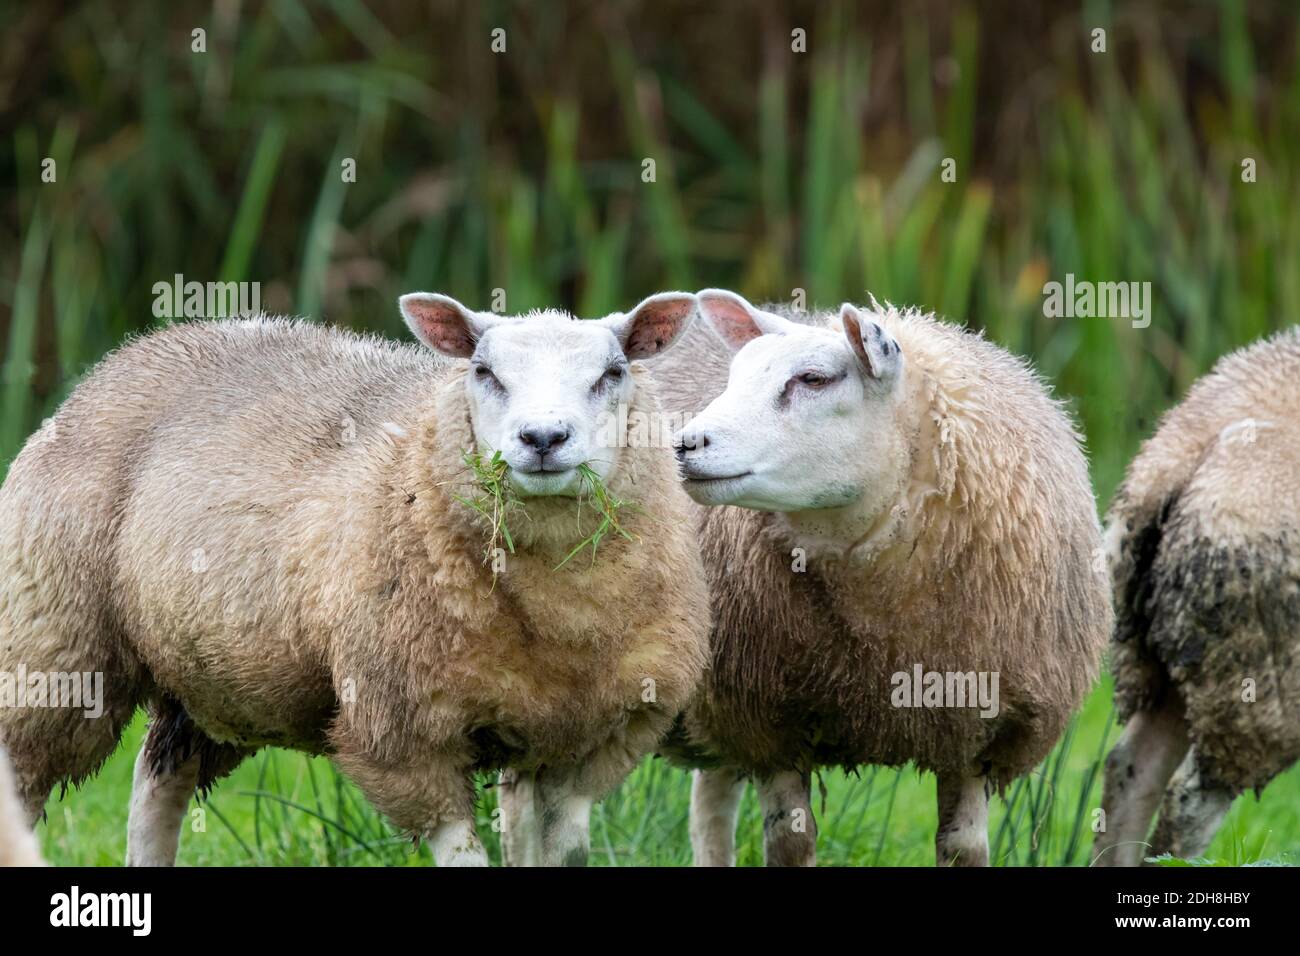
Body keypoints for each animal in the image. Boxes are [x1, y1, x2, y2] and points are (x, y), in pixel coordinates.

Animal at [0, 292, 710, 867]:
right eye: (484, 372)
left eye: (612, 373)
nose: (542, 438)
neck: (556, 623)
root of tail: (137, 349)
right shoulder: (400, 732)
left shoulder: (590, 741)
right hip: (54, 644)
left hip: (212, 668)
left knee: (157, 785)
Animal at [648, 289, 1111, 866]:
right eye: (733, 377)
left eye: (813, 379)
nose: (685, 444)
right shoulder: (768, 723)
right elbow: (791, 843)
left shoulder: (980, 734)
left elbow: (964, 849)